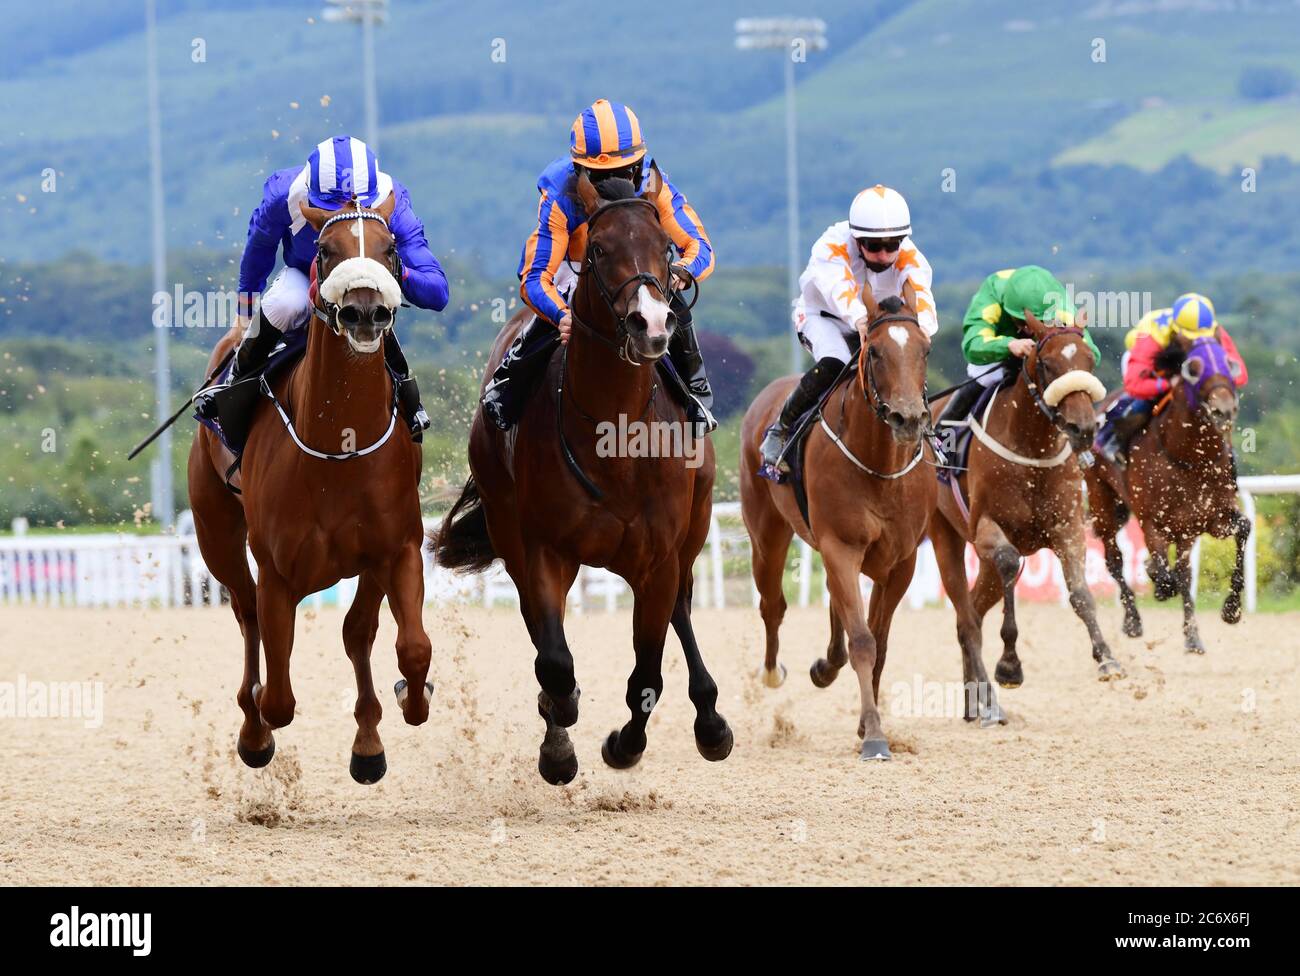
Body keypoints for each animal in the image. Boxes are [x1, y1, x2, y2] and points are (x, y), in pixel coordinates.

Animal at [187, 194, 433, 785]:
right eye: (325, 249)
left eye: (391, 248)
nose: (366, 312)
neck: (338, 446)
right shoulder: (278, 570)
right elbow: (278, 696)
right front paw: (258, 725)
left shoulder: (397, 548)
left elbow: (411, 647)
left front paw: (405, 701)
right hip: (215, 534)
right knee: (248, 613)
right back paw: (252, 727)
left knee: (357, 630)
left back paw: (368, 741)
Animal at [431, 169, 732, 785]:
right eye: (598, 249)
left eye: (666, 249)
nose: (651, 324)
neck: (614, 436)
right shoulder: (543, 549)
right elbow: (553, 659)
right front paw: (559, 738)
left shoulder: (658, 560)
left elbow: (647, 674)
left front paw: (625, 745)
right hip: (510, 527)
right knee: (538, 627)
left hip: (692, 533)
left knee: (682, 611)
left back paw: (711, 721)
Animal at [738, 287, 935, 761]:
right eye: (876, 352)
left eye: (925, 349)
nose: (908, 419)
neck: (880, 465)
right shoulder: (841, 546)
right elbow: (862, 640)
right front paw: (875, 738)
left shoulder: (900, 562)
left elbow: (878, 642)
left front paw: (868, 724)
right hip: (767, 535)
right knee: (773, 604)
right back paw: (773, 671)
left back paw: (826, 664)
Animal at [927, 309, 1122, 708]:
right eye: (1047, 364)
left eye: (1089, 360)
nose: (1082, 428)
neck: (1032, 448)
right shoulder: (988, 527)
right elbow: (1009, 563)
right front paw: (1009, 666)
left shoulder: (1068, 528)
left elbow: (1080, 593)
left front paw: (1107, 657)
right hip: (945, 534)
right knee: (967, 611)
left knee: (972, 610)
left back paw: (974, 699)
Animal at [1085, 334, 1248, 653]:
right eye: (1193, 369)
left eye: (1229, 363)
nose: (1224, 409)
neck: (1189, 457)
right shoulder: (1152, 521)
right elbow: (1163, 572)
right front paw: (1157, 583)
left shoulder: (1211, 516)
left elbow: (1243, 529)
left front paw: (1231, 609)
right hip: (1103, 502)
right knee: (1115, 560)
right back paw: (1133, 620)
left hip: (1184, 530)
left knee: (1184, 571)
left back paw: (1192, 636)